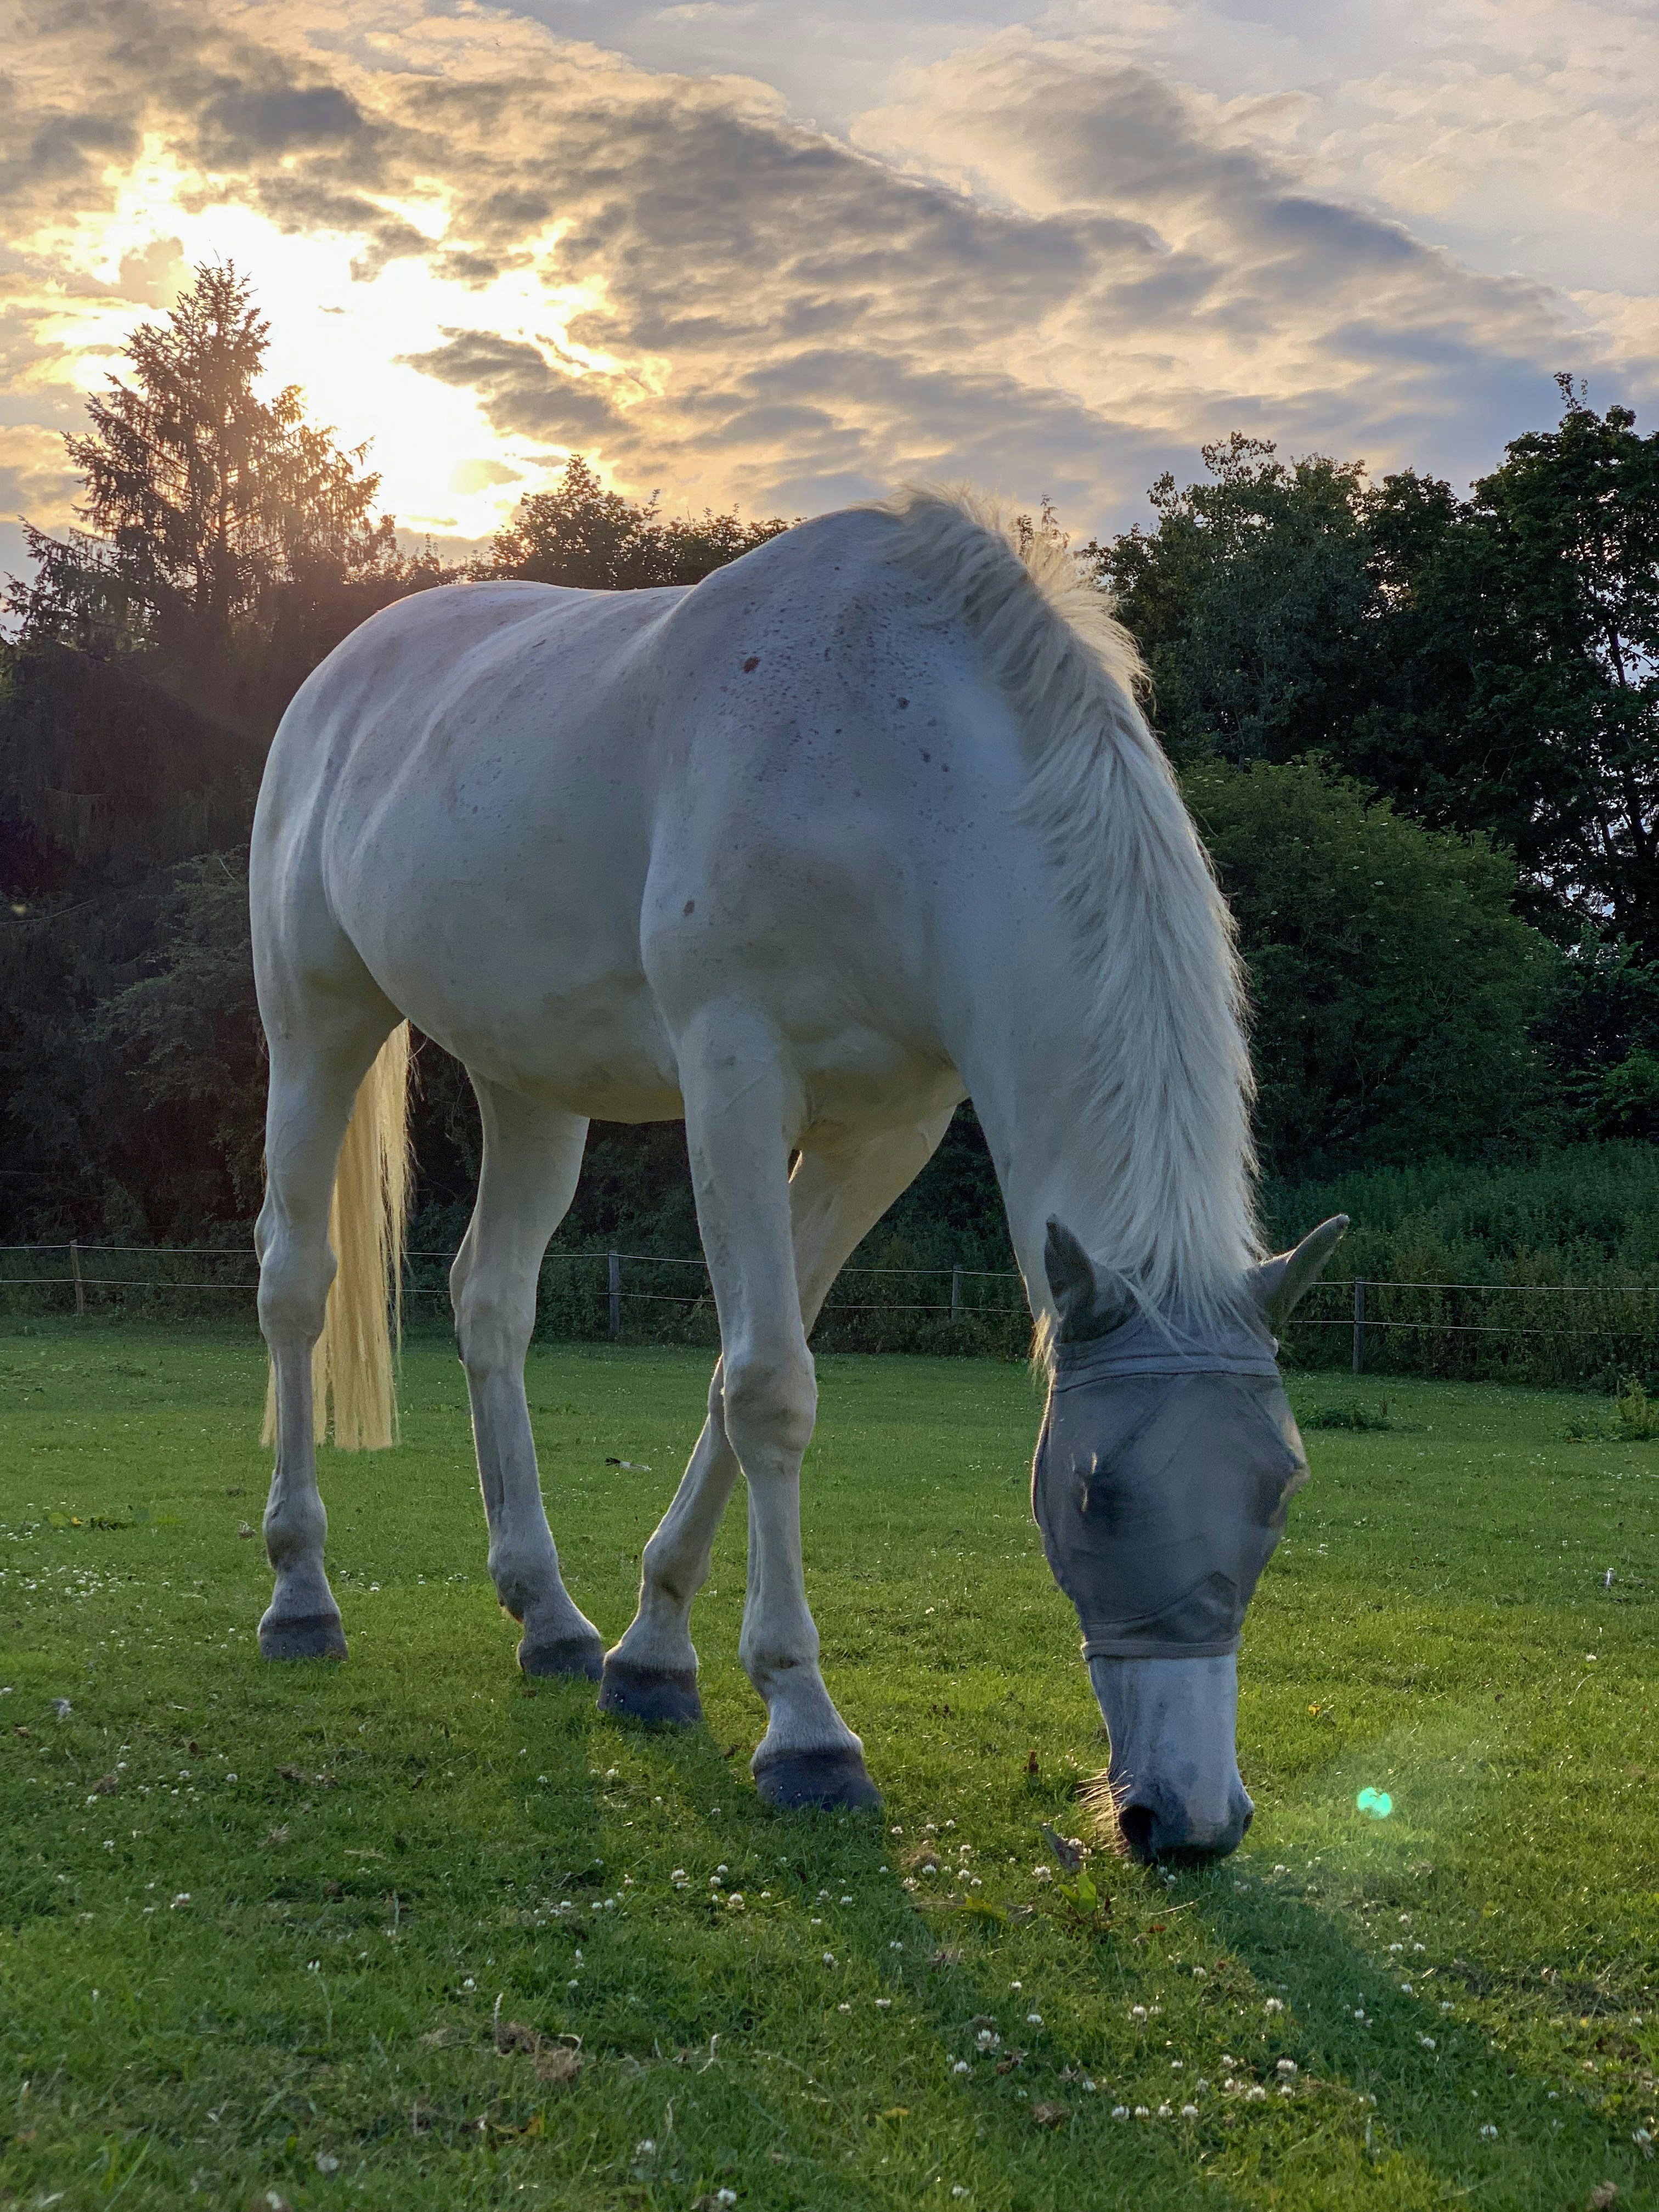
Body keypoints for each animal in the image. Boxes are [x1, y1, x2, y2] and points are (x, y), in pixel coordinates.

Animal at [249, 485, 1344, 1860]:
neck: (893, 763)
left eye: (1280, 1489)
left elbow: (736, 1380)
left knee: (490, 1302)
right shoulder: (736, 1077)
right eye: (1098, 1496)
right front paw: (807, 1733)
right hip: (316, 1025)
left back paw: (550, 1618)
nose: (1189, 1819)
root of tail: (339, 673)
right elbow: (771, 1388)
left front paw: (651, 1659)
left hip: (530, 1084)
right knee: (295, 1283)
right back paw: (301, 1597)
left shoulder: (885, 1132)